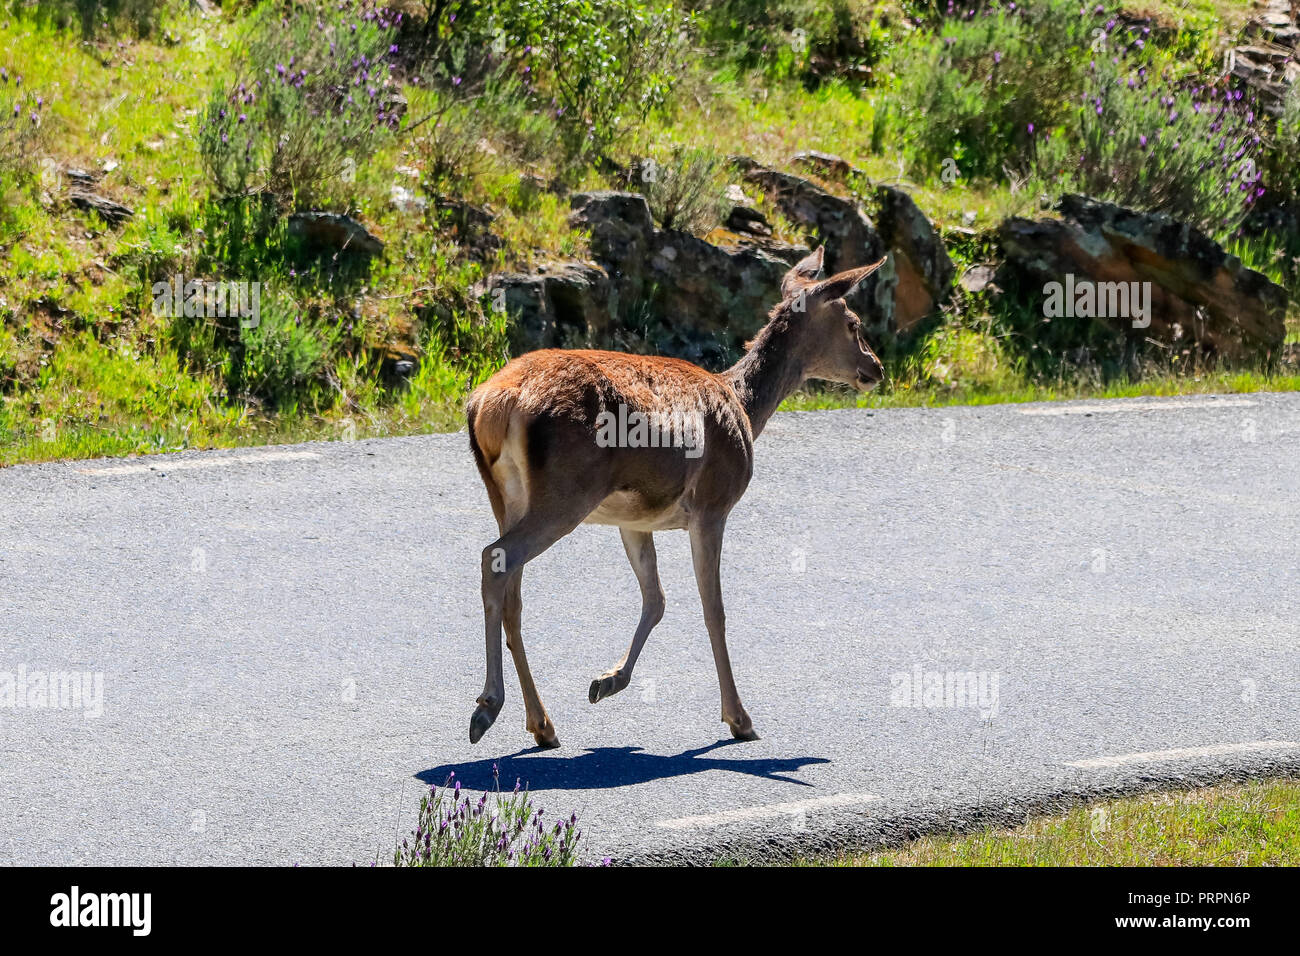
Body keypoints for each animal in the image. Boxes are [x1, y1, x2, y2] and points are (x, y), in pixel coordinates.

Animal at [464, 246, 886, 747]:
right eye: (854, 323)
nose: (876, 368)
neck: (745, 408)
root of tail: (494, 403)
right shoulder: (712, 505)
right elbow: (714, 609)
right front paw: (739, 717)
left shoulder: (633, 519)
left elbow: (656, 598)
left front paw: (607, 681)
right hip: (564, 494)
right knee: (495, 560)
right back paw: (487, 707)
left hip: (507, 497)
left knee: (513, 592)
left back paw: (542, 724)